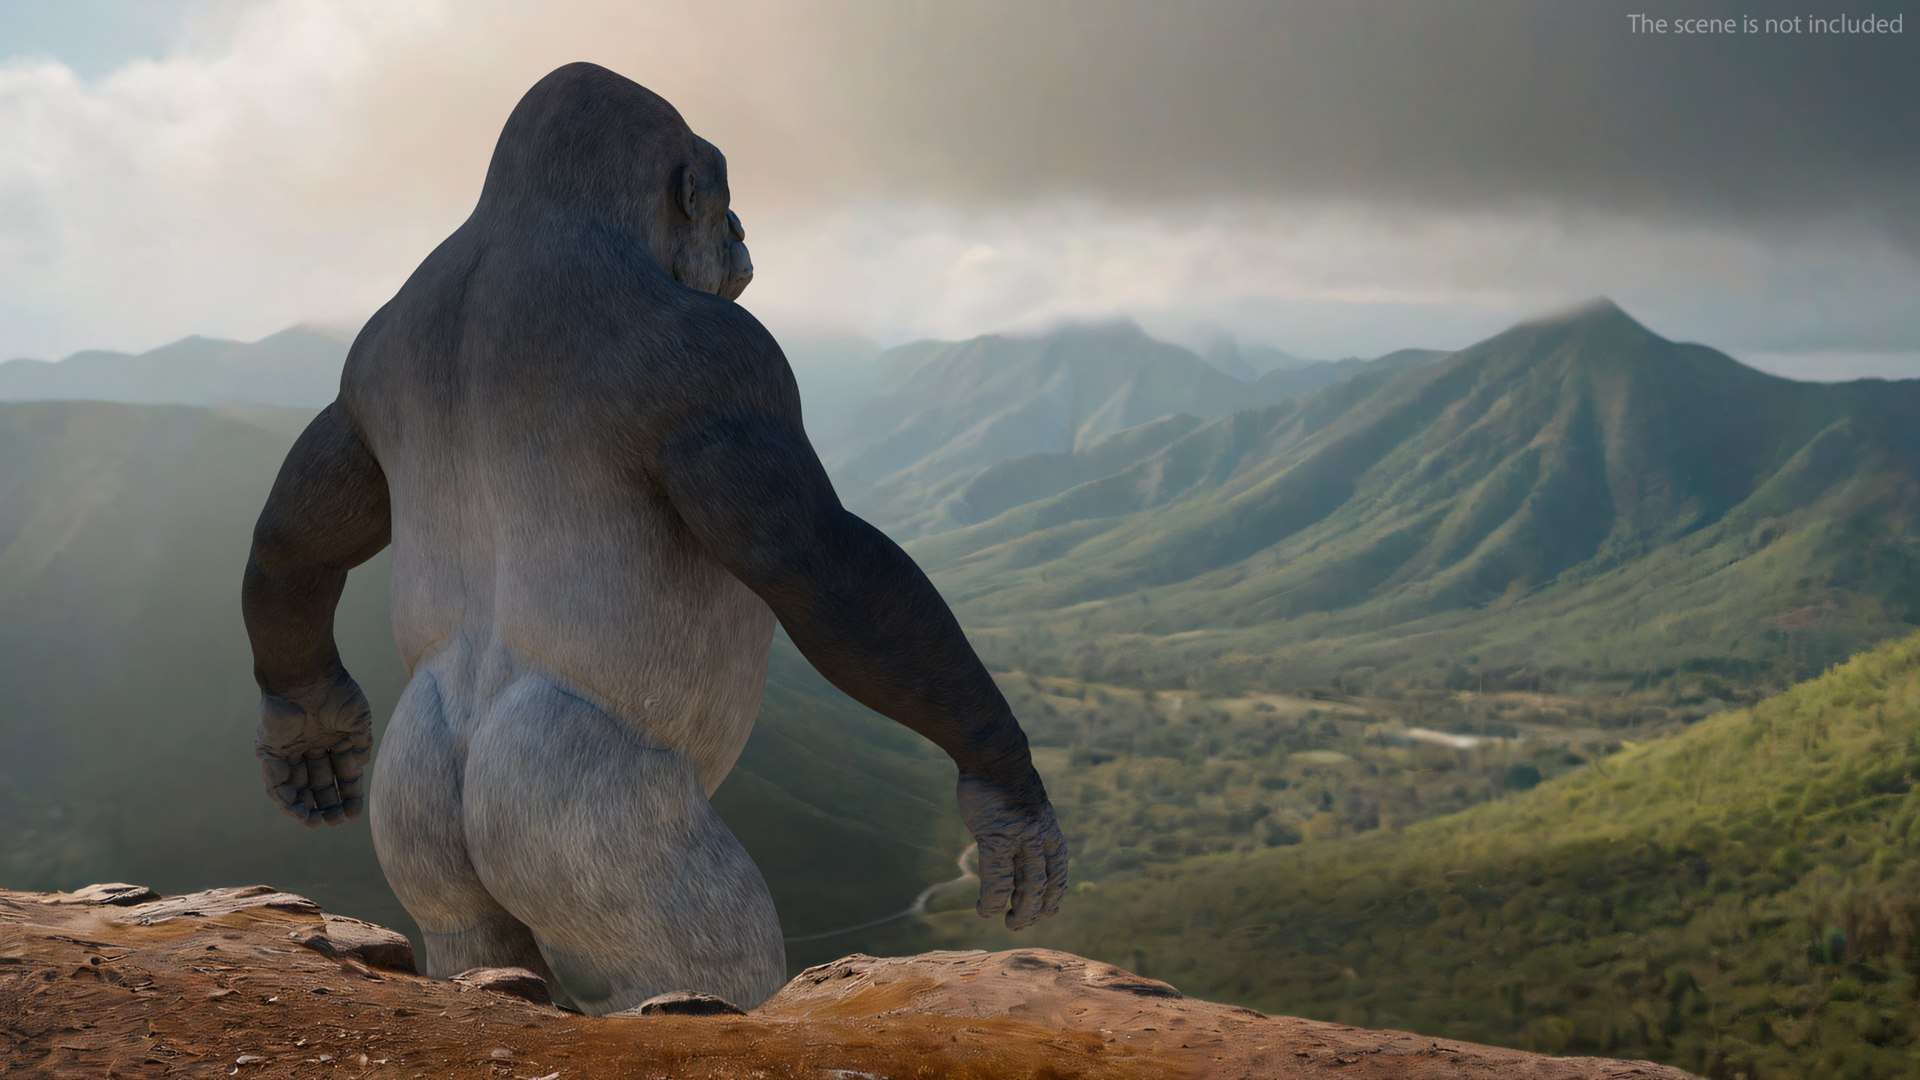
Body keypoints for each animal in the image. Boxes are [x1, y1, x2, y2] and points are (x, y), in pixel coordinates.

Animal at [240, 62, 1067, 1014]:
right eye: (719, 199)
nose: (739, 231)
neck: (531, 221)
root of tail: (471, 745)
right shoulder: (730, 359)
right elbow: (819, 567)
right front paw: (1005, 787)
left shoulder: (359, 372)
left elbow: (297, 542)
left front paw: (308, 722)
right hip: (588, 832)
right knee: (704, 959)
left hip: (424, 826)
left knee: (465, 926)